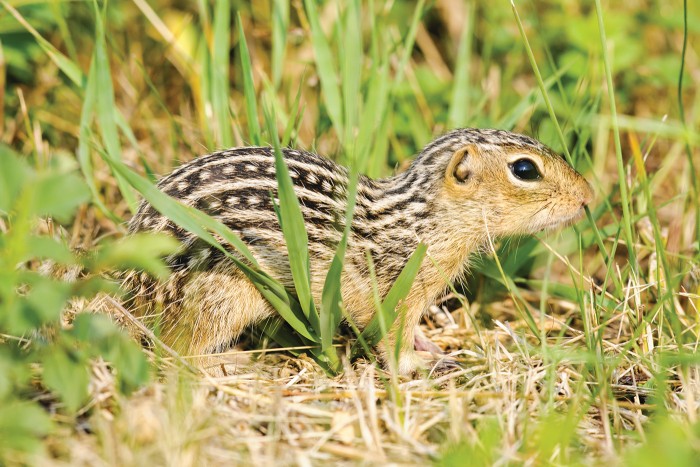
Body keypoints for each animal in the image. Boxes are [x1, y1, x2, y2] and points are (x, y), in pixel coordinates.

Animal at [119, 128, 594, 375]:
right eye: (525, 169)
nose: (589, 196)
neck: (422, 222)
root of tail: (131, 292)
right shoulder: (395, 297)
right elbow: (391, 342)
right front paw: (418, 364)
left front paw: (434, 345)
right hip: (219, 300)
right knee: (178, 350)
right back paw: (234, 362)